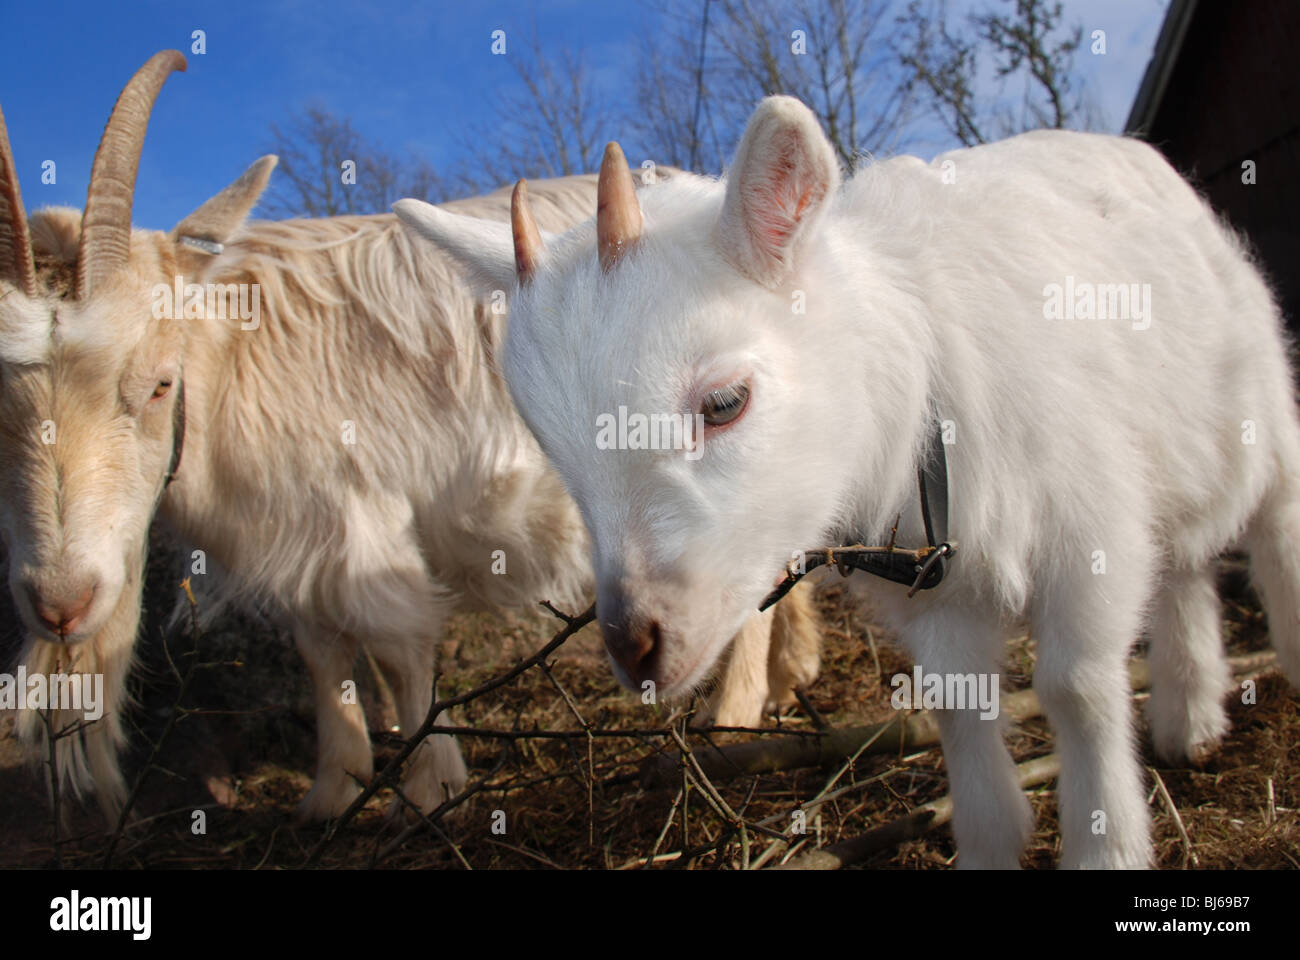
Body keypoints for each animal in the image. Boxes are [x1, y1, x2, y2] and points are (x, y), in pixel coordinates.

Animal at [0, 54, 821, 823]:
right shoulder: (296, 538)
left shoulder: (358, 515)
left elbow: (395, 650)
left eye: (158, 384)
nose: (61, 602)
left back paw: (731, 719)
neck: (236, 357)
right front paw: (333, 790)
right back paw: (792, 677)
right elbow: (322, 652)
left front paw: (429, 789)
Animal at [395, 95, 1300, 868]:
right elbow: (957, 702)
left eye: (724, 402)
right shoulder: (935, 588)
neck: (927, 375)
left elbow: (1076, 687)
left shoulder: (1090, 524)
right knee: (1186, 563)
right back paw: (1192, 719)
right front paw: (991, 842)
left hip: (1254, 404)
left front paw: (1105, 848)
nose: (637, 648)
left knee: (1269, 526)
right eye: (554, 449)